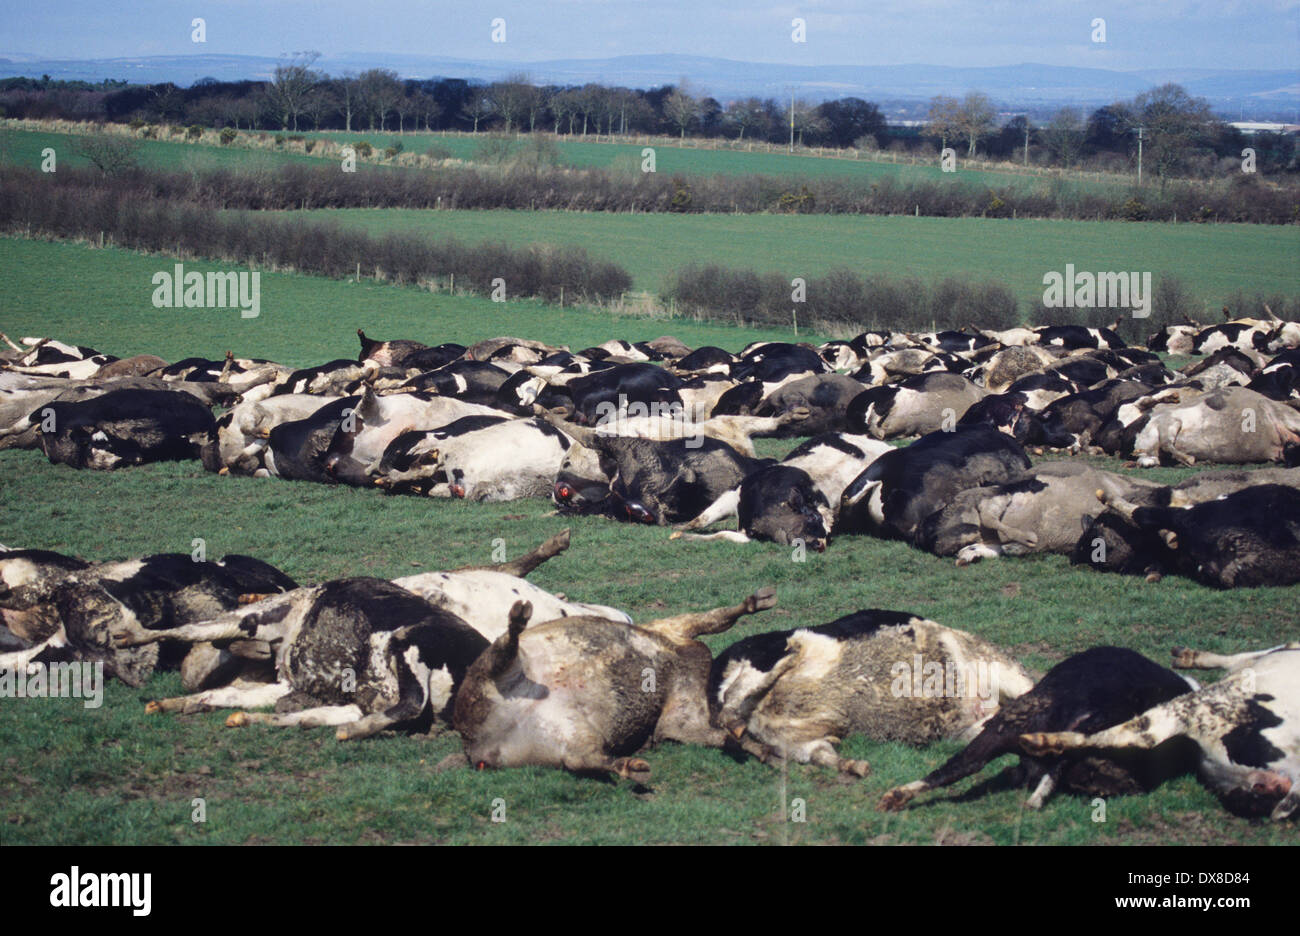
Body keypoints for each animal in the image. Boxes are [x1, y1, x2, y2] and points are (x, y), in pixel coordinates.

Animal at [453, 587, 778, 780]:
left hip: (566, 734)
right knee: (502, 653)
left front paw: (761, 749)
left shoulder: (680, 713)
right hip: (485, 678)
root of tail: (477, 747)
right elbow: (714, 618)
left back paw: (631, 767)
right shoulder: (672, 627)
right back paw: (519, 616)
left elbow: (695, 731)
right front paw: (761, 600)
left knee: (581, 759)